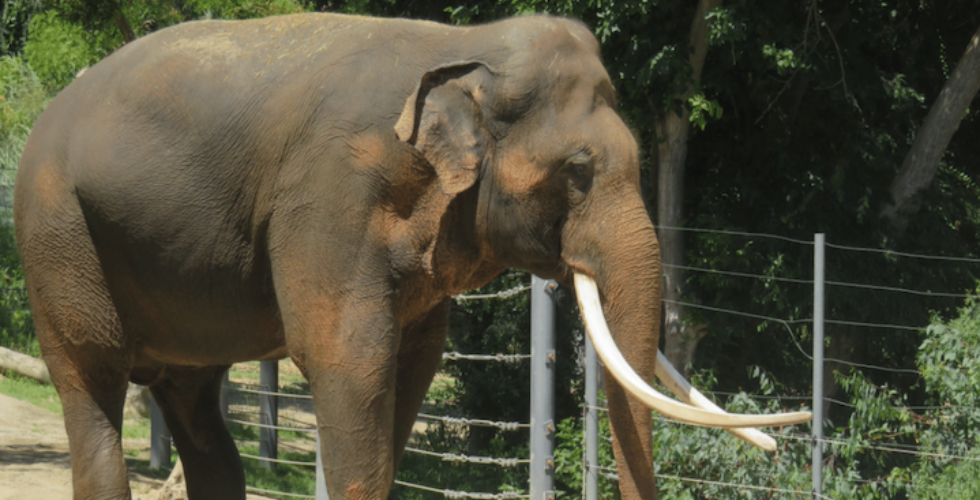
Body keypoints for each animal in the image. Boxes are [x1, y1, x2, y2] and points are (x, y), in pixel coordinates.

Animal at [15, 13, 808, 500]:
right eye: (578, 172)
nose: (792, 434)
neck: (467, 49)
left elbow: (415, 360)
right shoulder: (331, 194)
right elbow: (350, 354)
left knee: (194, 405)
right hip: (57, 234)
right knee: (91, 377)